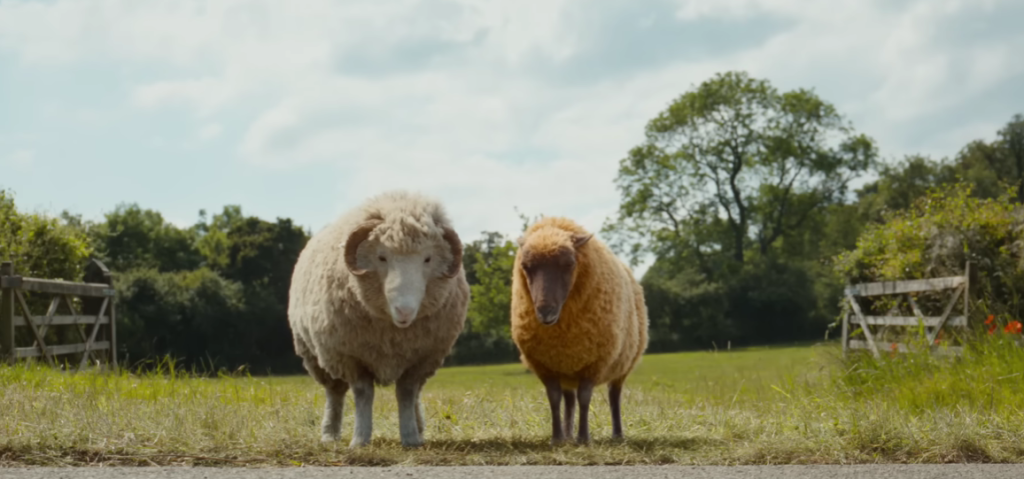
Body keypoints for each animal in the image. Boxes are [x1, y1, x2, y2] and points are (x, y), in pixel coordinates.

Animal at [287, 190, 470, 448]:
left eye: (428, 259)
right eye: (382, 257)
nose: (404, 311)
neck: (393, 333)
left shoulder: (420, 359)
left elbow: (406, 393)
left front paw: (410, 437)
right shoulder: (351, 357)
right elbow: (363, 394)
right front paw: (360, 439)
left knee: (415, 395)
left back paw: (419, 428)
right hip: (317, 356)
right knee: (334, 393)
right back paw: (330, 434)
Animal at [510, 216, 648, 445]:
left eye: (568, 264)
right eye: (526, 266)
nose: (545, 312)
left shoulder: (594, 363)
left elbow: (585, 398)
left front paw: (584, 438)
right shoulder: (545, 365)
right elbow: (554, 399)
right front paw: (557, 438)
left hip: (622, 364)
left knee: (614, 396)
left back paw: (617, 435)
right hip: (567, 368)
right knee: (569, 400)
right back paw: (567, 435)